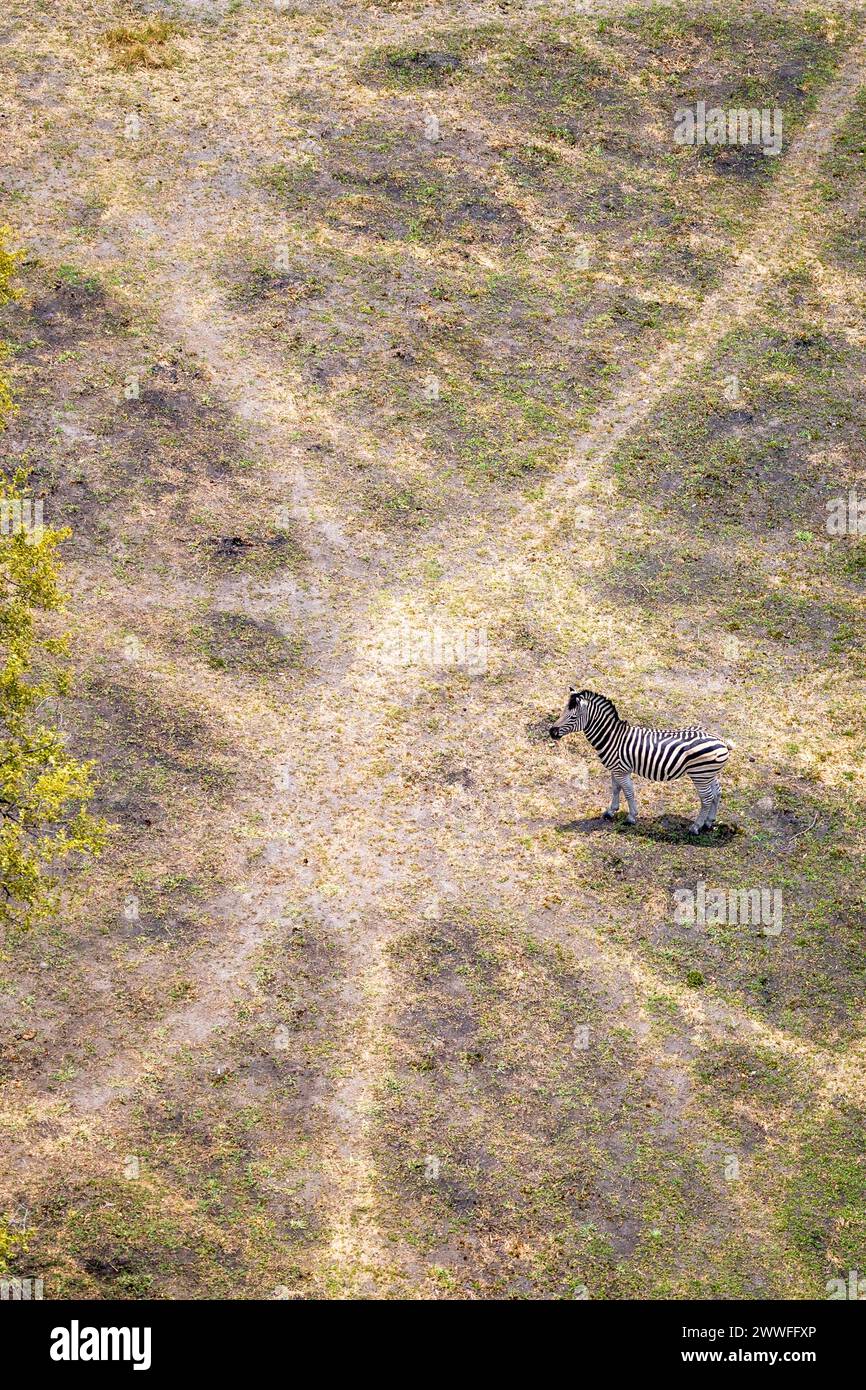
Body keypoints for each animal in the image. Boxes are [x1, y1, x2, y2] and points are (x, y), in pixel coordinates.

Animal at [549, 689, 734, 833]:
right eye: (563, 711)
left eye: (572, 717)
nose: (551, 732)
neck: (612, 737)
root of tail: (721, 741)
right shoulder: (615, 769)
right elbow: (616, 789)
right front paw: (611, 811)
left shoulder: (622, 770)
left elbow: (628, 792)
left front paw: (631, 817)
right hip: (708, 774)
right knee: (717, 793)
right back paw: (709, 822)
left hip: (699, 775)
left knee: (707, 798)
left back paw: (696, 827)